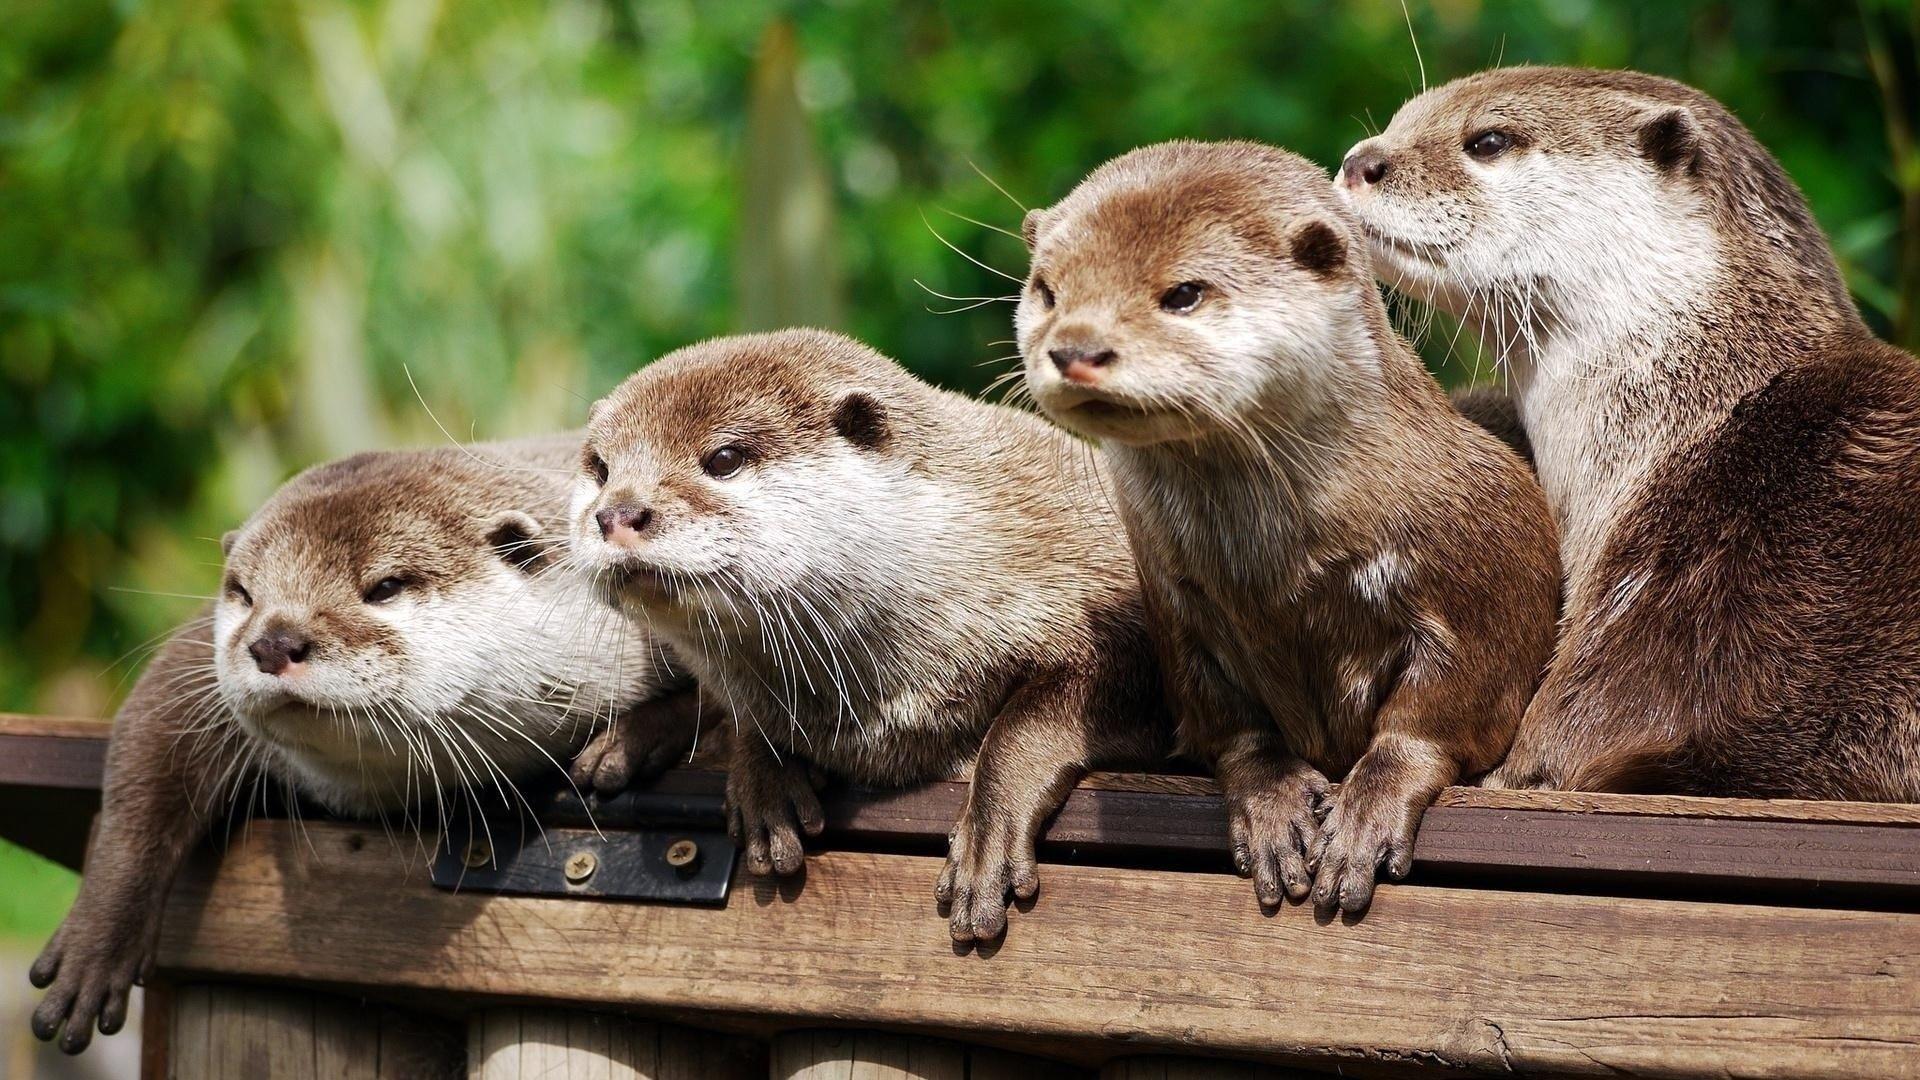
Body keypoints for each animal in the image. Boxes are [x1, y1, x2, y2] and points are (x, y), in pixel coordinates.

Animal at [30, 438, 689, 1053]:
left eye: (385, 586)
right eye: (243, 593)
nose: (273, 641)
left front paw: (626, 743)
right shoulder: (194, 664)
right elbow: (148, 753)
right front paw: (93, 946)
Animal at [568, 328, 1167, 942]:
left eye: (725, 458)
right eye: (601, 469)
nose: (617, 513)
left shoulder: (1109, 601)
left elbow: (1031, 722)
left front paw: (985, 839)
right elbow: (744, 714)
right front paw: (765, 781)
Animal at [1015, 141, 1559, 914]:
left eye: (1184, 293)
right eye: (1048, 290)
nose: (1076, 349)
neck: (1277, 575)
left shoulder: (1488, 572)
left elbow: (1439, 714)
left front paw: (1367, 810)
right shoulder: (1175, 602)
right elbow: (1227, 722)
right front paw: (1270, 802)